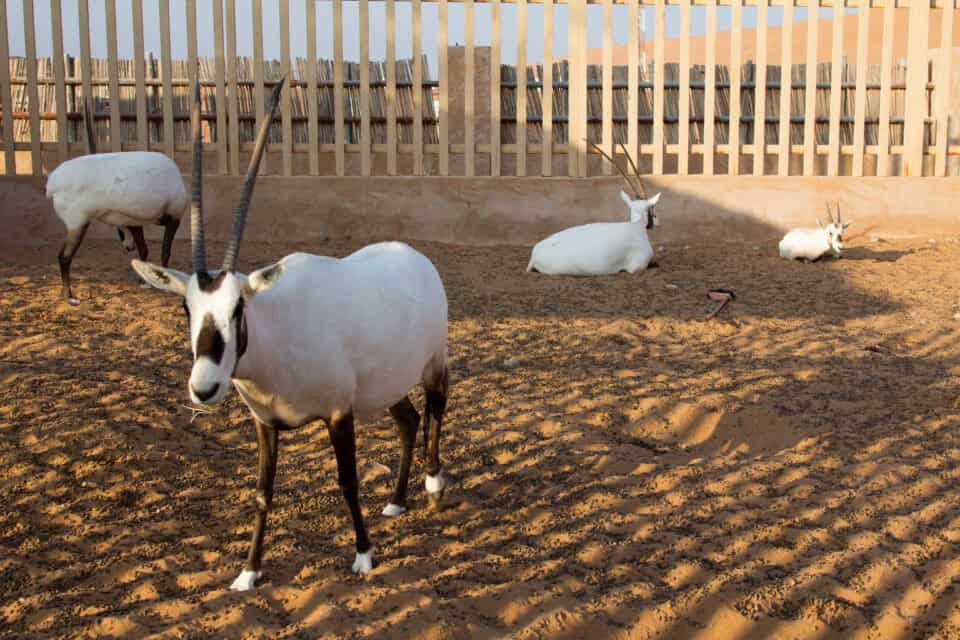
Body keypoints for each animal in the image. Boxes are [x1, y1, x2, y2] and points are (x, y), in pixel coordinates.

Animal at [45, 98, 185, 303]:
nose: (127, 247)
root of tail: (53, 181)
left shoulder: (134, 224)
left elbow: (144, 252)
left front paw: (144, 282)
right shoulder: (173, 217)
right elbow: (165, 251)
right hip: (78, 223)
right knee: (64, 256)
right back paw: (70, 296)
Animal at [132, 80, 451, 591]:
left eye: (239, 308)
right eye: (187, 308)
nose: (204, 389)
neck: (275, 334)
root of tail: (414, 256)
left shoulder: (339, 413)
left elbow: (347, 480)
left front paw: (364, 554)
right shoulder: (265, 423)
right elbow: (263, 492)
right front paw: (248, 572)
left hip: (431, 364)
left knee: (437, 408)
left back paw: (434, 487)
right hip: (384, 385)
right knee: (408, 419)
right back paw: (397, 499)